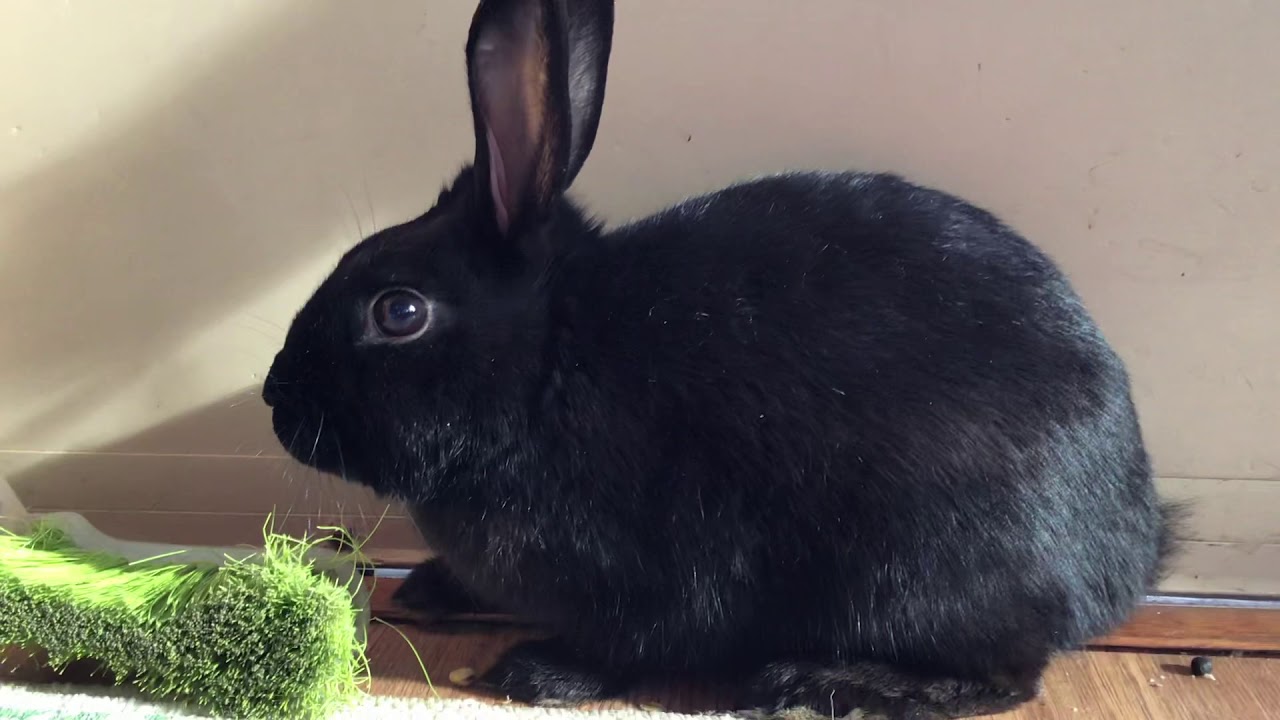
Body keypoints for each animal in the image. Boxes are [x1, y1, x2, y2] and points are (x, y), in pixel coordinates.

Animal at [262, 0, 1179, 717]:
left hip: (924, 565)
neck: (546, 370)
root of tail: (1132, 552)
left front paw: (537, 673)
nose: (274, 398)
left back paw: (823, 684)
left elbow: (637, 640)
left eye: (399, 312)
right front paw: (428, 590)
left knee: (1011, 678)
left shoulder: (666, 562)